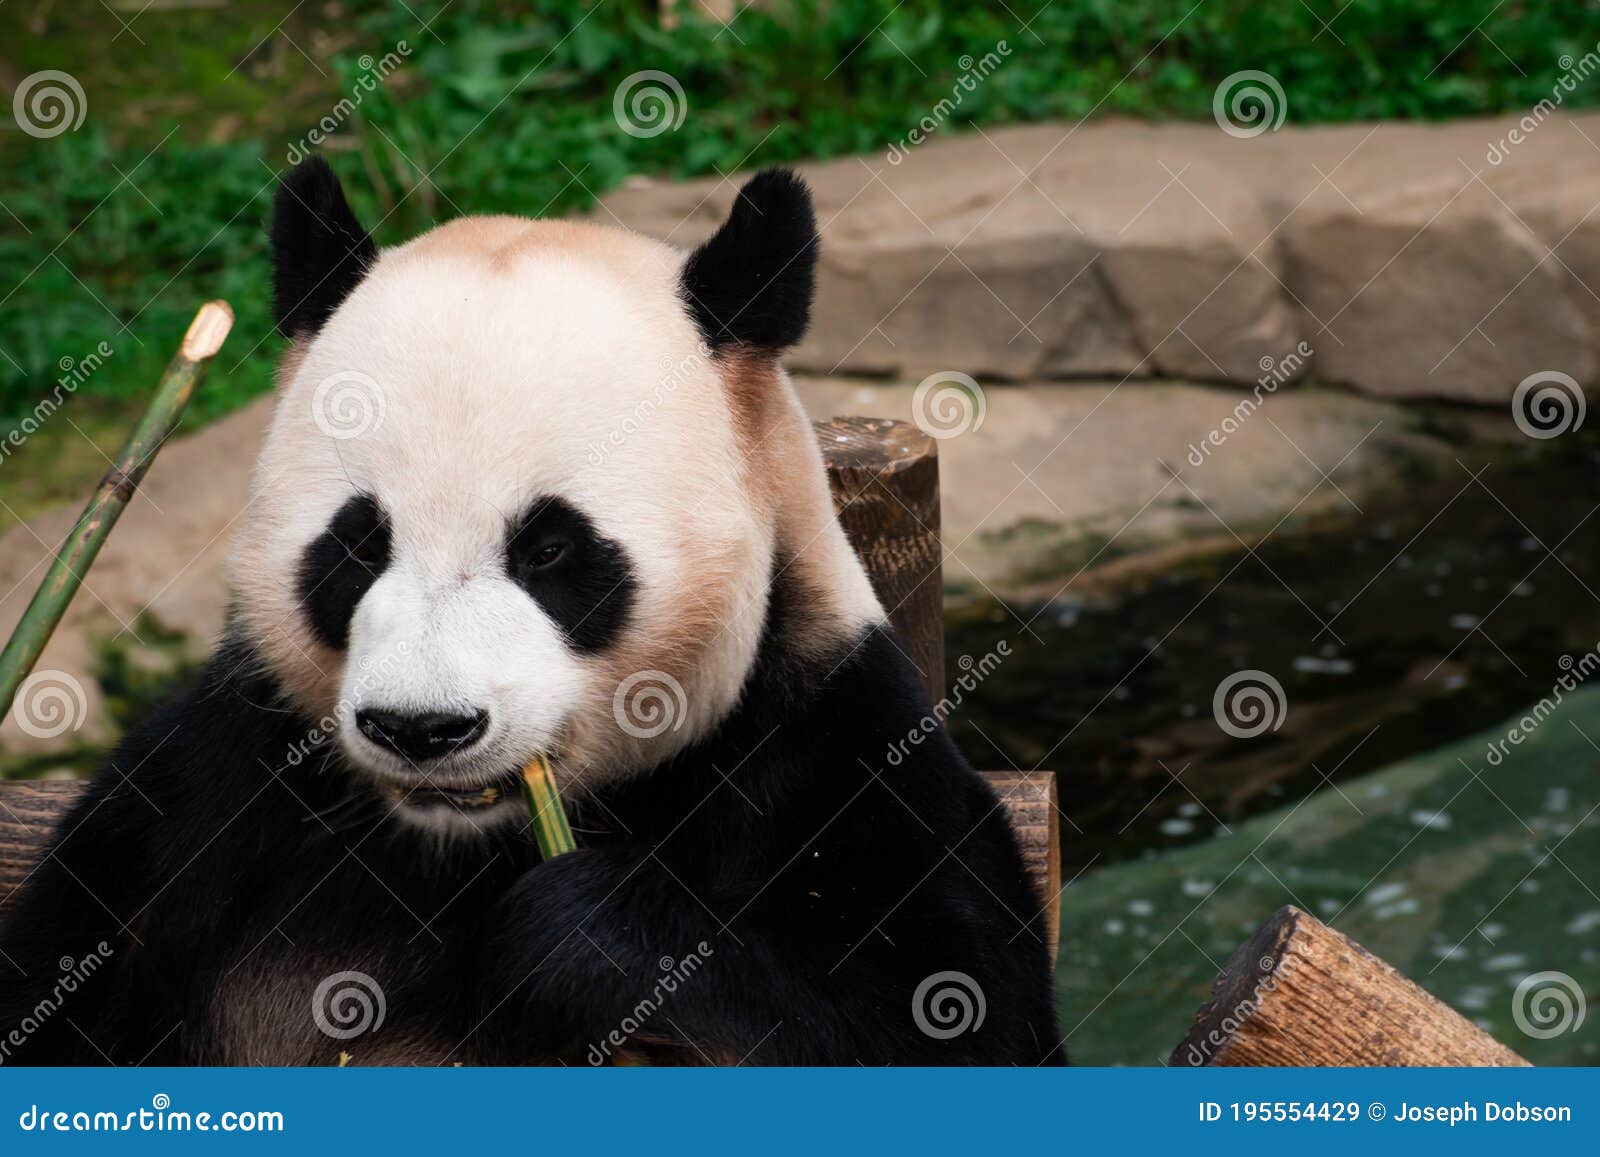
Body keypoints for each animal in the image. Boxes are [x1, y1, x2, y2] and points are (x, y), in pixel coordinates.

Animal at [0, 158, 1063, 1066]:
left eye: (549, 549)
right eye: (358, 544)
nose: (420, 729)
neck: (461, 844)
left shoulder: (831, 740)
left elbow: (945, 1013)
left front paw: (585, 935)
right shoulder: (207, 785)